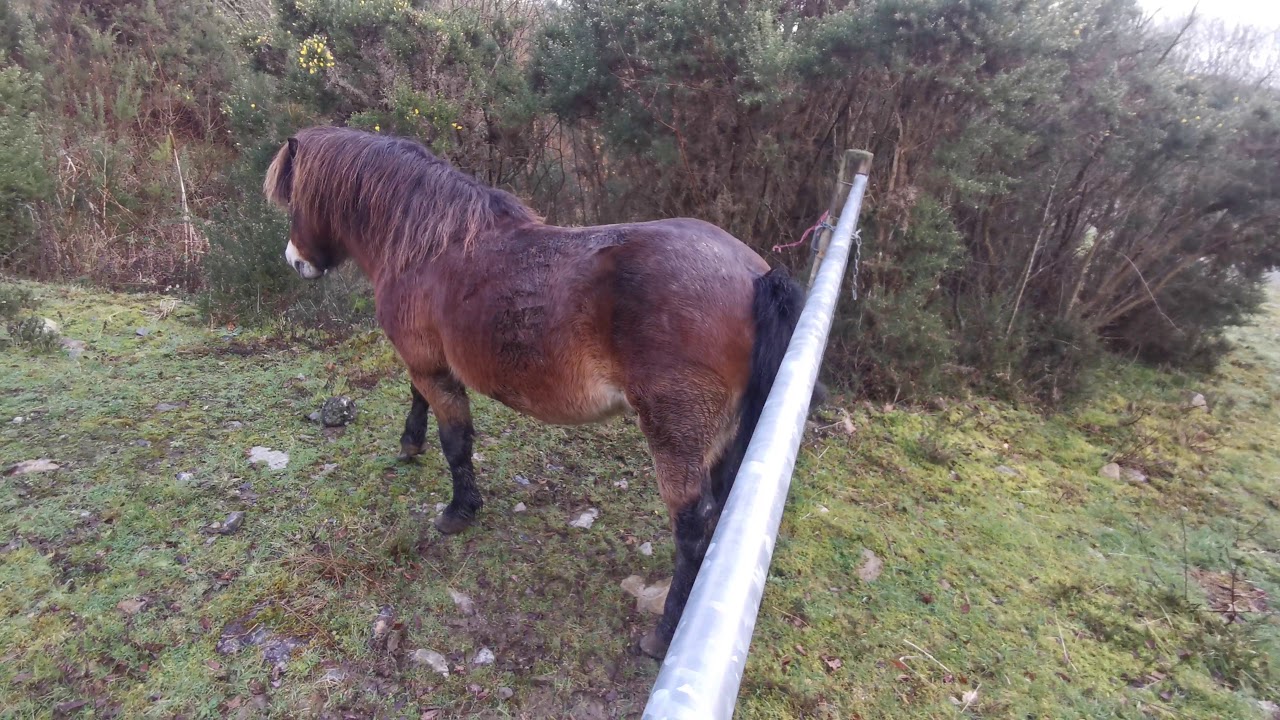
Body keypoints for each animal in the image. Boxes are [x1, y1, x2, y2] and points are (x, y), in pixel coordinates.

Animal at [263, 125, 808, 659]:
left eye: (295, 201)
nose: (293, 260)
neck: (428, 248)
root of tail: (754, 276)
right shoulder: (427, 363)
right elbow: (417, 400)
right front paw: (410, 443)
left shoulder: (432, 369)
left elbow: (456, 441)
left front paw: (458, 511)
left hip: (677, 434)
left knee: (693, 527)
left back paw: (665, 633)